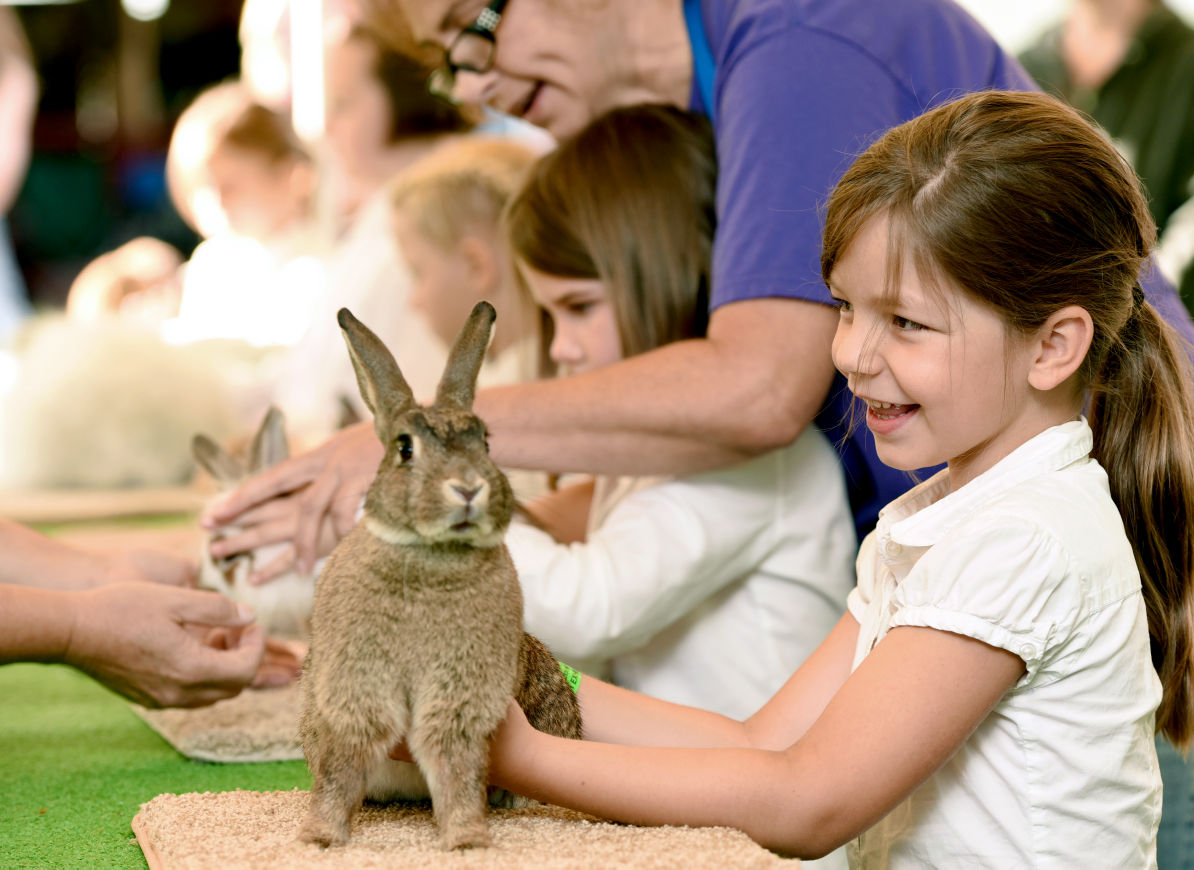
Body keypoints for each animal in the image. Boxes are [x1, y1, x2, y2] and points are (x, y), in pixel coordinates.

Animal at [297, 303, 581, 851]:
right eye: (405, 449)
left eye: (486, 443)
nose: (467, 488)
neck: (431, 554)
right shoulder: (355, 683)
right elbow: (343, 761)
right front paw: (320, 837)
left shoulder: (461, 693)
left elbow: (455, 760)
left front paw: (466, 839)